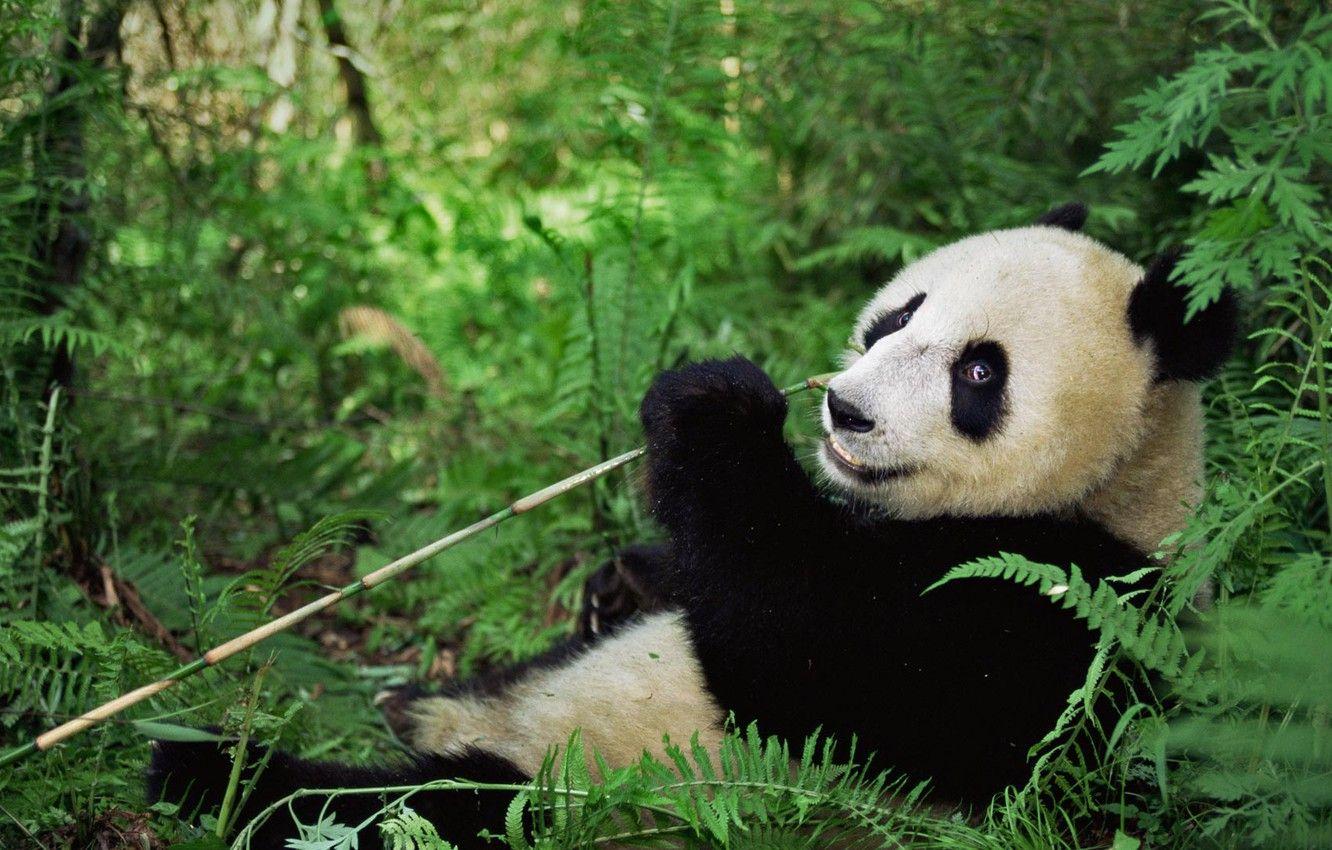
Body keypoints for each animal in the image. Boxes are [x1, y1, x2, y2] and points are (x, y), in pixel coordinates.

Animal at [148, 204, 1237, 849]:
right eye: (898, 317)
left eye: (978, 371)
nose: (843, 410)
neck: (1119, 488)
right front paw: (623, 579)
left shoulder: (1062, 613)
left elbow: (808, 658)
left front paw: (714, 407)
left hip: (584, 801)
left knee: (417, 813)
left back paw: (214, 772)